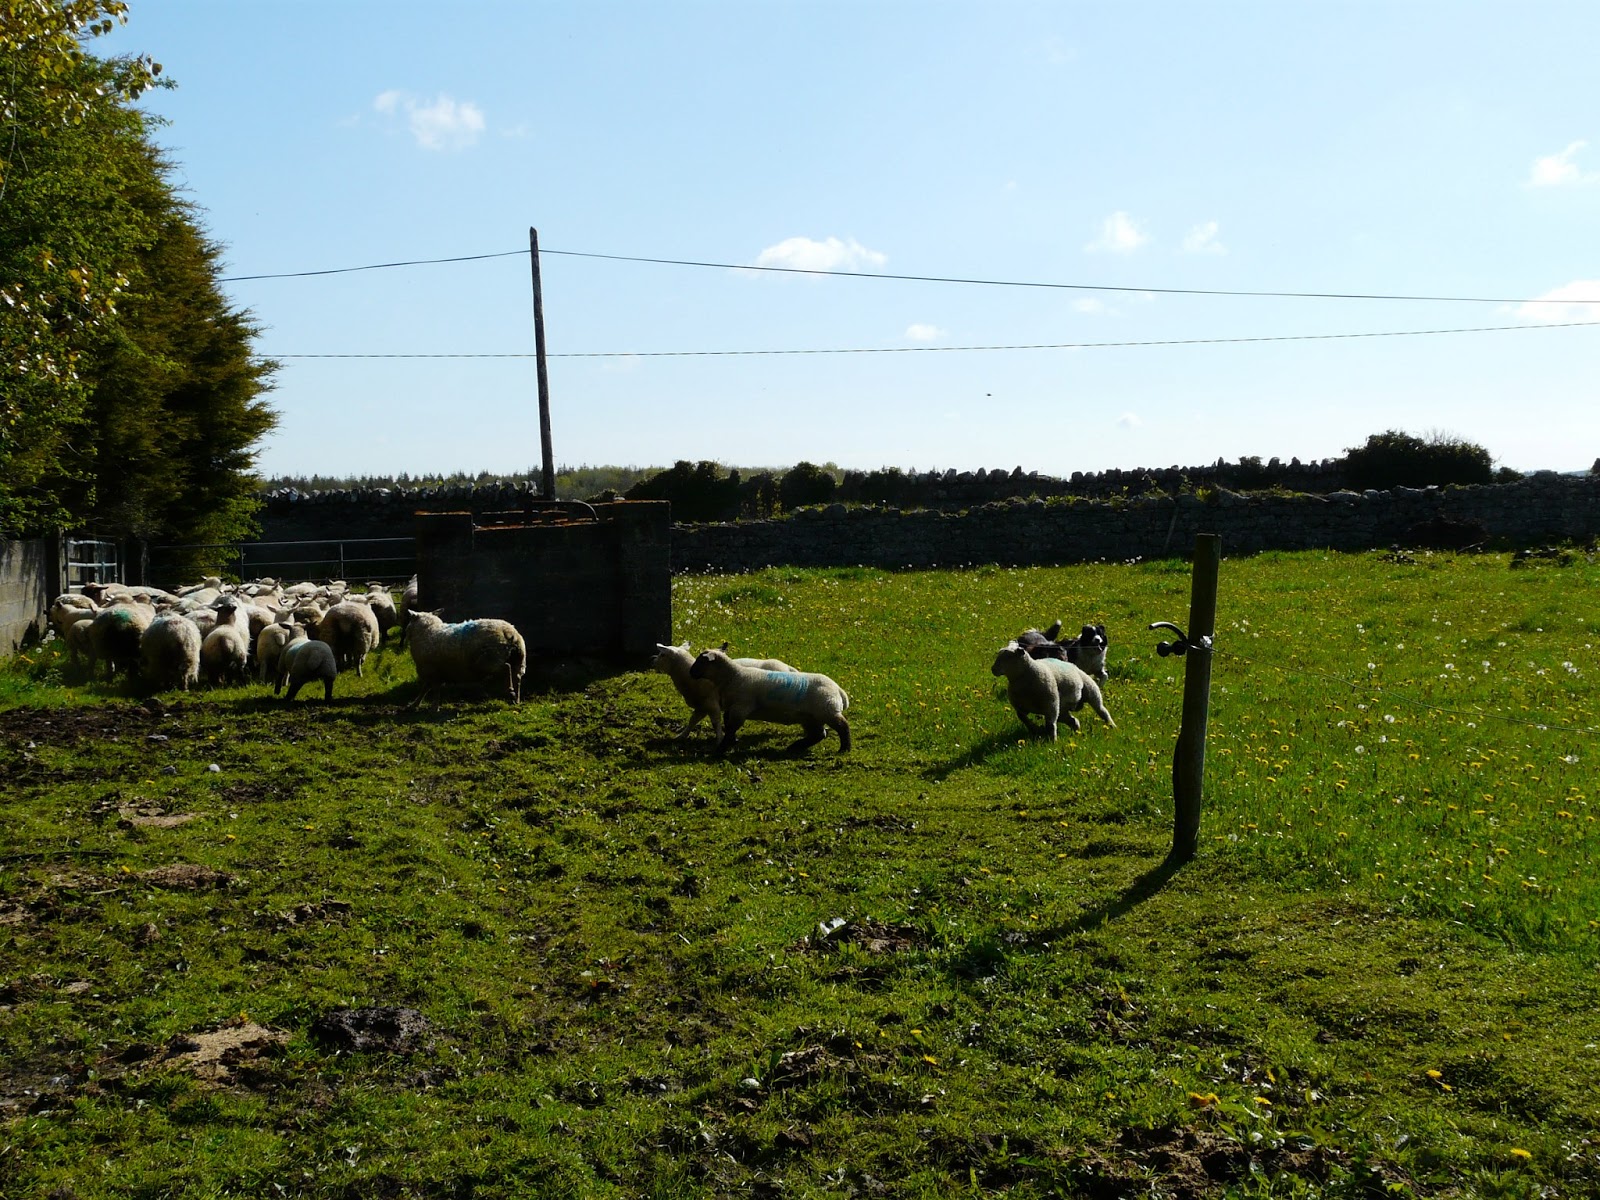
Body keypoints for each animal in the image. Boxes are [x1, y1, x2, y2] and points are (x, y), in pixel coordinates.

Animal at [650, 642, 797, 740]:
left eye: (662, 654)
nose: (653, 661)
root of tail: (788, 668)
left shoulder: (712, 704)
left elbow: (716, 723)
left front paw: (720, 739)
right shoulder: (702, 706)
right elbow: (693, 721)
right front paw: (681, 736)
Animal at [687, 647, 850, 755]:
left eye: (701, 661)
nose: (691, 673)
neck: (734, 676)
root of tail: (838, 690)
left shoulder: (741, 706)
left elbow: (732, 726)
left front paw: (722, 748)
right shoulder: (734, 707)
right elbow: (728, 723)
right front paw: (732, 741)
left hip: (827, 710)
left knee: (843, 727)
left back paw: (844, 749)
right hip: (812, 717)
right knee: (818, 735)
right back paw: (794, 747)